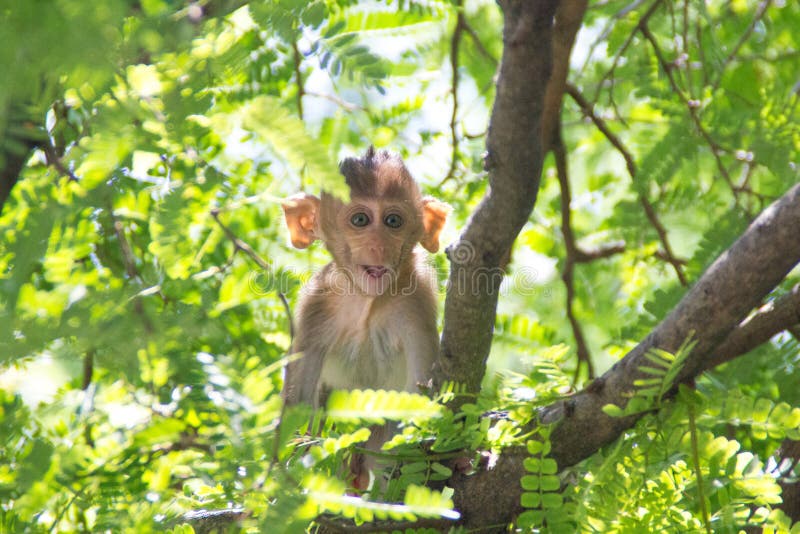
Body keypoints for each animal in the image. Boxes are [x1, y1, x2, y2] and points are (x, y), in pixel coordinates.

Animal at [281, 146, 449, 489]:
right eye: (360, 220)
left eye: (393, 221)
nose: (378, 245)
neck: (368, 303)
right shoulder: (317, 304)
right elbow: (301, 404)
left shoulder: (417, 303)